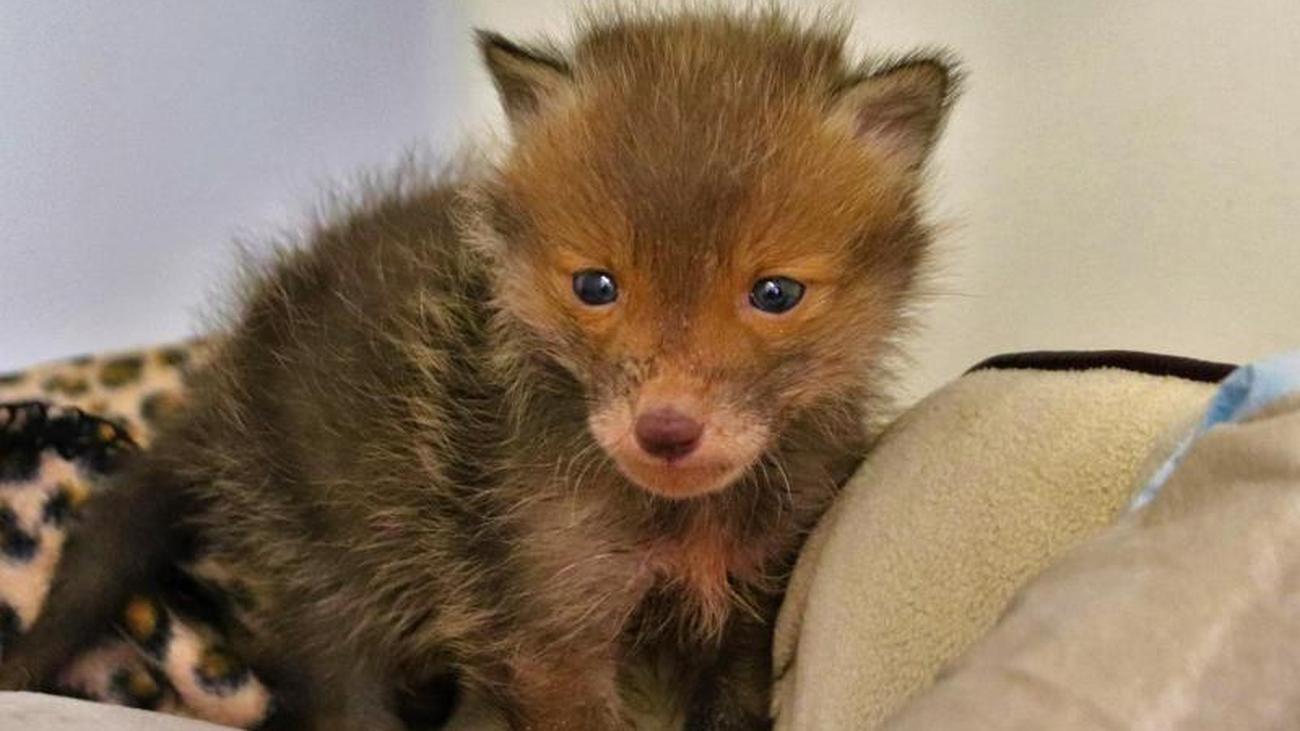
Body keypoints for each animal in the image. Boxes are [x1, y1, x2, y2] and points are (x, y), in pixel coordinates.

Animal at [0, 8, 958, 730]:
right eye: (595, 285)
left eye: (775, 293)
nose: (667, 430)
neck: (680, 524)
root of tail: (238, 354)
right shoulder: (549, 626)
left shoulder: (753, 608)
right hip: (331, 571)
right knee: (342, 695)